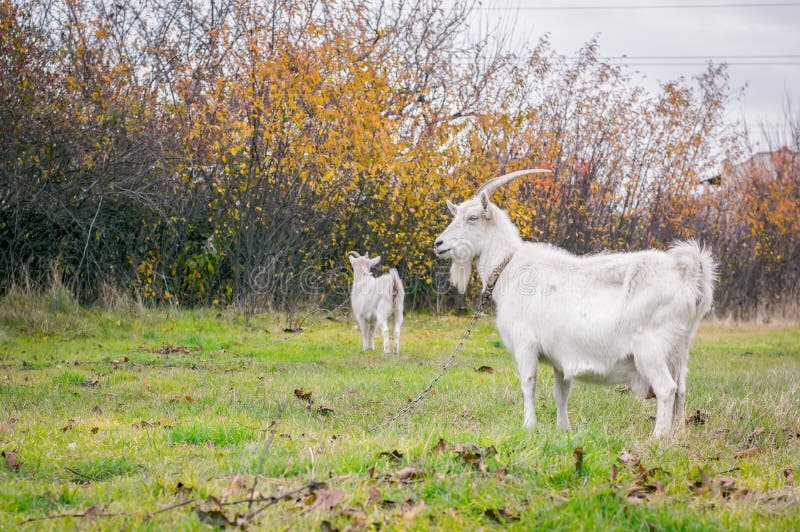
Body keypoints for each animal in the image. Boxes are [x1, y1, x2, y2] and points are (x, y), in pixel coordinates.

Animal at [434, 169, 716, 438]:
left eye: (472, 218)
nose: (439, 244)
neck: (509, 266)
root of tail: (688, 277)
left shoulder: (526, 343)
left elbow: (528, 383)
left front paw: (529, 426)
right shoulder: (560, 356)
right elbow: (561, 392)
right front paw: (563, 430)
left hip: (650, 349)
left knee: (666, 389)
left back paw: (658, 437)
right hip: (680, 350)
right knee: (681, 390)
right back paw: (677, 434)